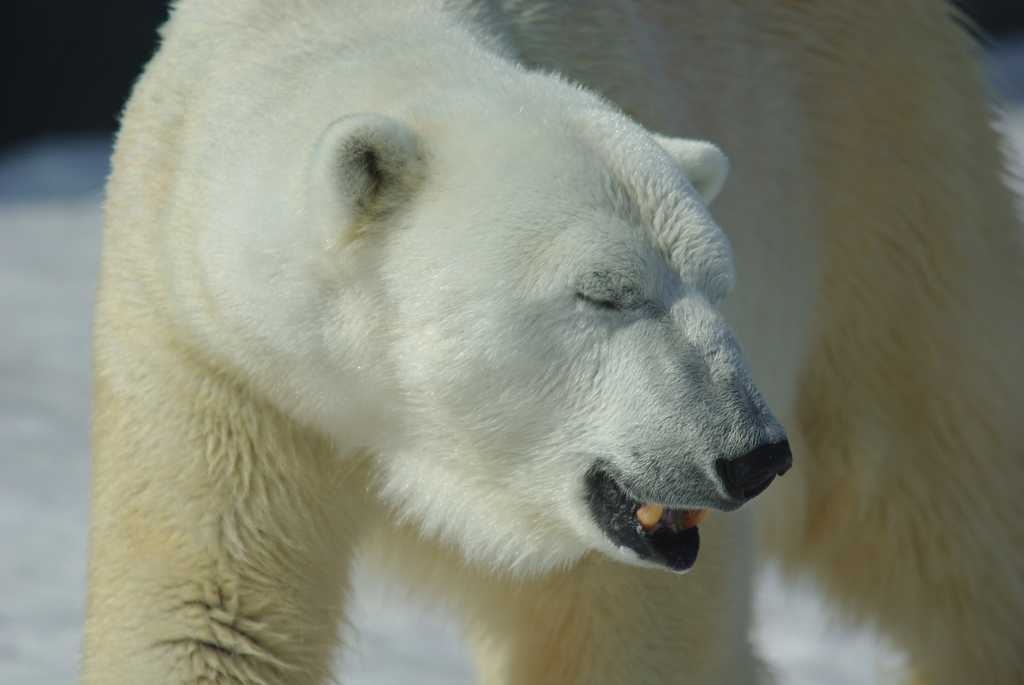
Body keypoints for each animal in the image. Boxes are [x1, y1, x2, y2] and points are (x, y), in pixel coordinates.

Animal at [83, 1, 1024, 684]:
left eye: (719, 283)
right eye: (604, 291)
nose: (752, 454)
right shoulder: (216, 362)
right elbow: (206, 615)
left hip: (885, 186)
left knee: (942, 492)